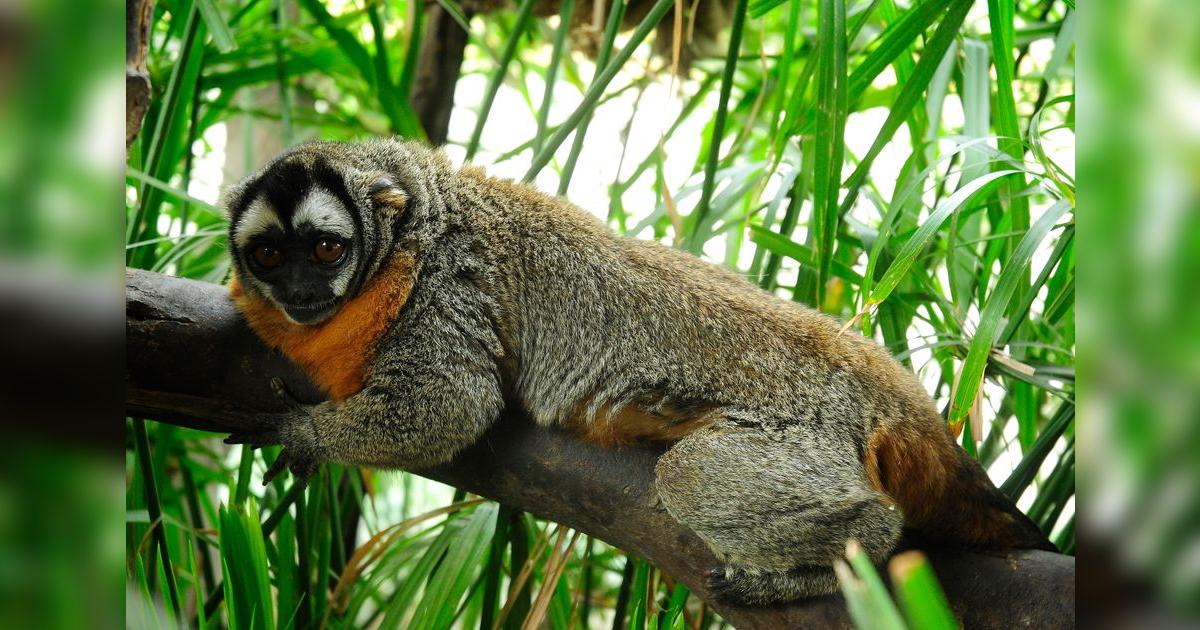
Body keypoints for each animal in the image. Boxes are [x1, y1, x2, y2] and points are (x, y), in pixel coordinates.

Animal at [223, 139, 1055, 605]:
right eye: (269, 254)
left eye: (325, 249)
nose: (298, 289)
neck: (411, 236)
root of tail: (887, 385)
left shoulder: (442, 293)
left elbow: (448, 406)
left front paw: (304, 434)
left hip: (807, 431)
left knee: (696, 477)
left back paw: (835, 559)